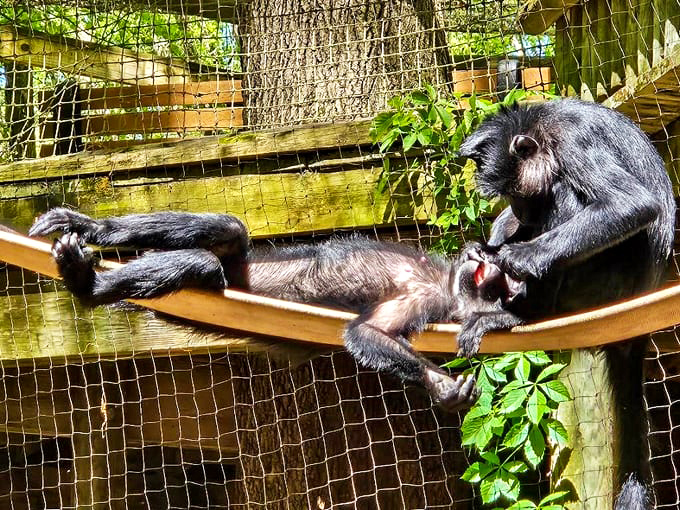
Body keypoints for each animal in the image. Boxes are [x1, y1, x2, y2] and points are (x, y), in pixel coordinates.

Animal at [28, 208, 526, 413]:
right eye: (494, 273)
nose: (483, 262)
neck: (445, 282)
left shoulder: (424, 301)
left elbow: (365, 334)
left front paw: (441, 387)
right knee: (225, 230)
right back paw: (92, 228)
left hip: (217, 282)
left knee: (205, 260)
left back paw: (87, 284)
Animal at [458, 98, 676, 510]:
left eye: (516, 193)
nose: (519, 211)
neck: (543, 126)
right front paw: (485, 250)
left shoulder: (575, 139)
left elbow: (632, 205)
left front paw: (520, 257)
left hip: (604, 283)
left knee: (564, 192)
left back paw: (521, 312)